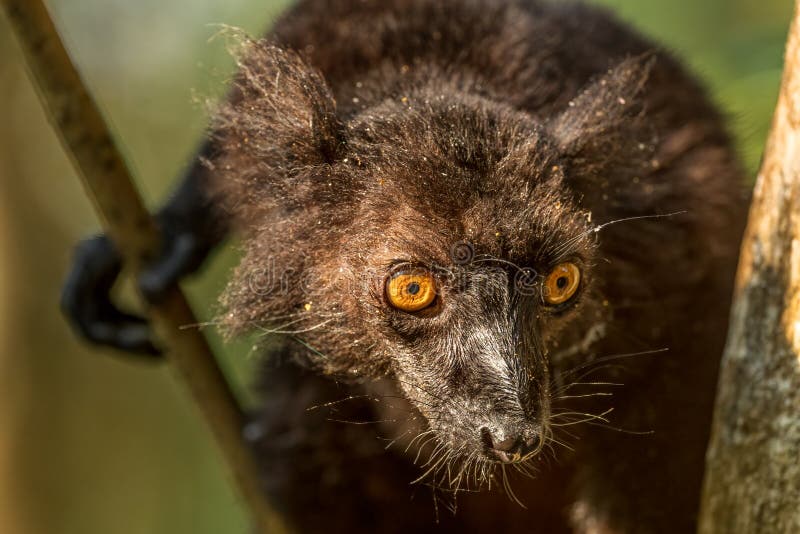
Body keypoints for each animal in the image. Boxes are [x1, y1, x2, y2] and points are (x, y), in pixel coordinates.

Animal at [60, 0, 749, 532]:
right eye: (412, 288)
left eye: (562, 283)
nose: (511, 435)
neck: (432, 75)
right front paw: (164, 238)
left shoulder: (676, 251)